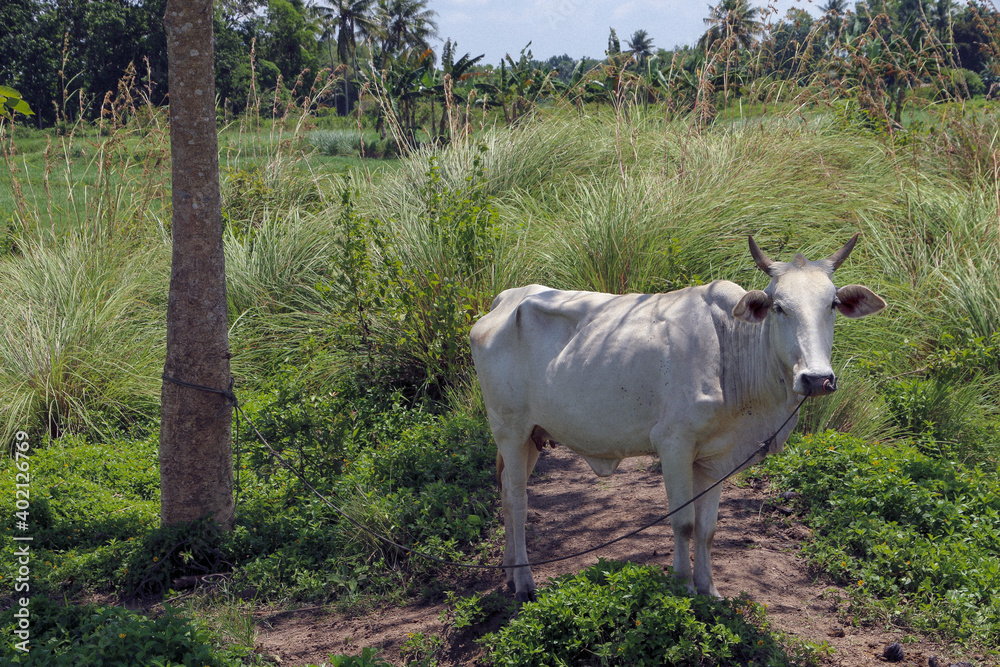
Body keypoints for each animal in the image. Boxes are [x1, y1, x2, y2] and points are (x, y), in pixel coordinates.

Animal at [469, 235, 886, 601]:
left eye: (832, 304)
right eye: (779, 307)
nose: (816, 378)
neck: (731, 351)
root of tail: (506, 300)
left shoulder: (715, 459)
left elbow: (706, 529)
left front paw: (709, 589)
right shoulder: (674, 445)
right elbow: (683, 523)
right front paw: (682, 584)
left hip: (533, 436)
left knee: (507, 493)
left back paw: (509, 572)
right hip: (510, 428)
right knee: (517, 499)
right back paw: (524, 583)